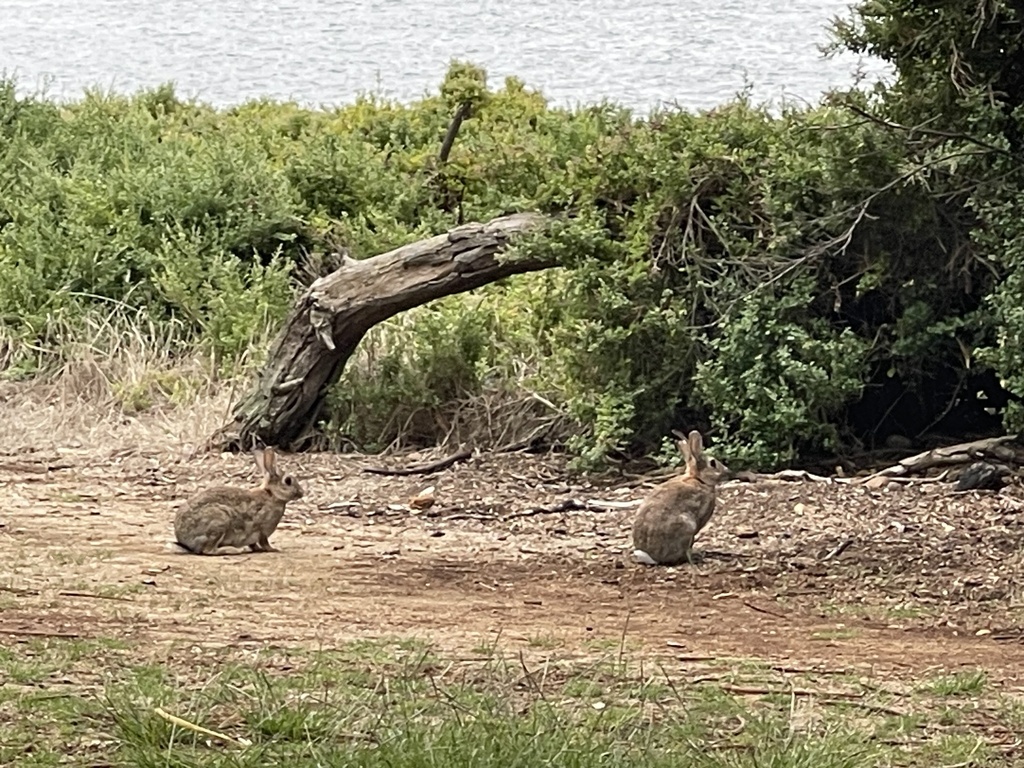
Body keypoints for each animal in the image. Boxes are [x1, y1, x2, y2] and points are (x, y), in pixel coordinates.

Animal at [173, 447, 304, 555]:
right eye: (288, 481)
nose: (301, 492)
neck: (272, 495)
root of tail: (183, 539)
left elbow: (253, 544)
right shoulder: (262, 529)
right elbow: (264, 542)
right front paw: (273, 549)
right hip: (219, 521)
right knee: (208, 550)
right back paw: (233, 550)